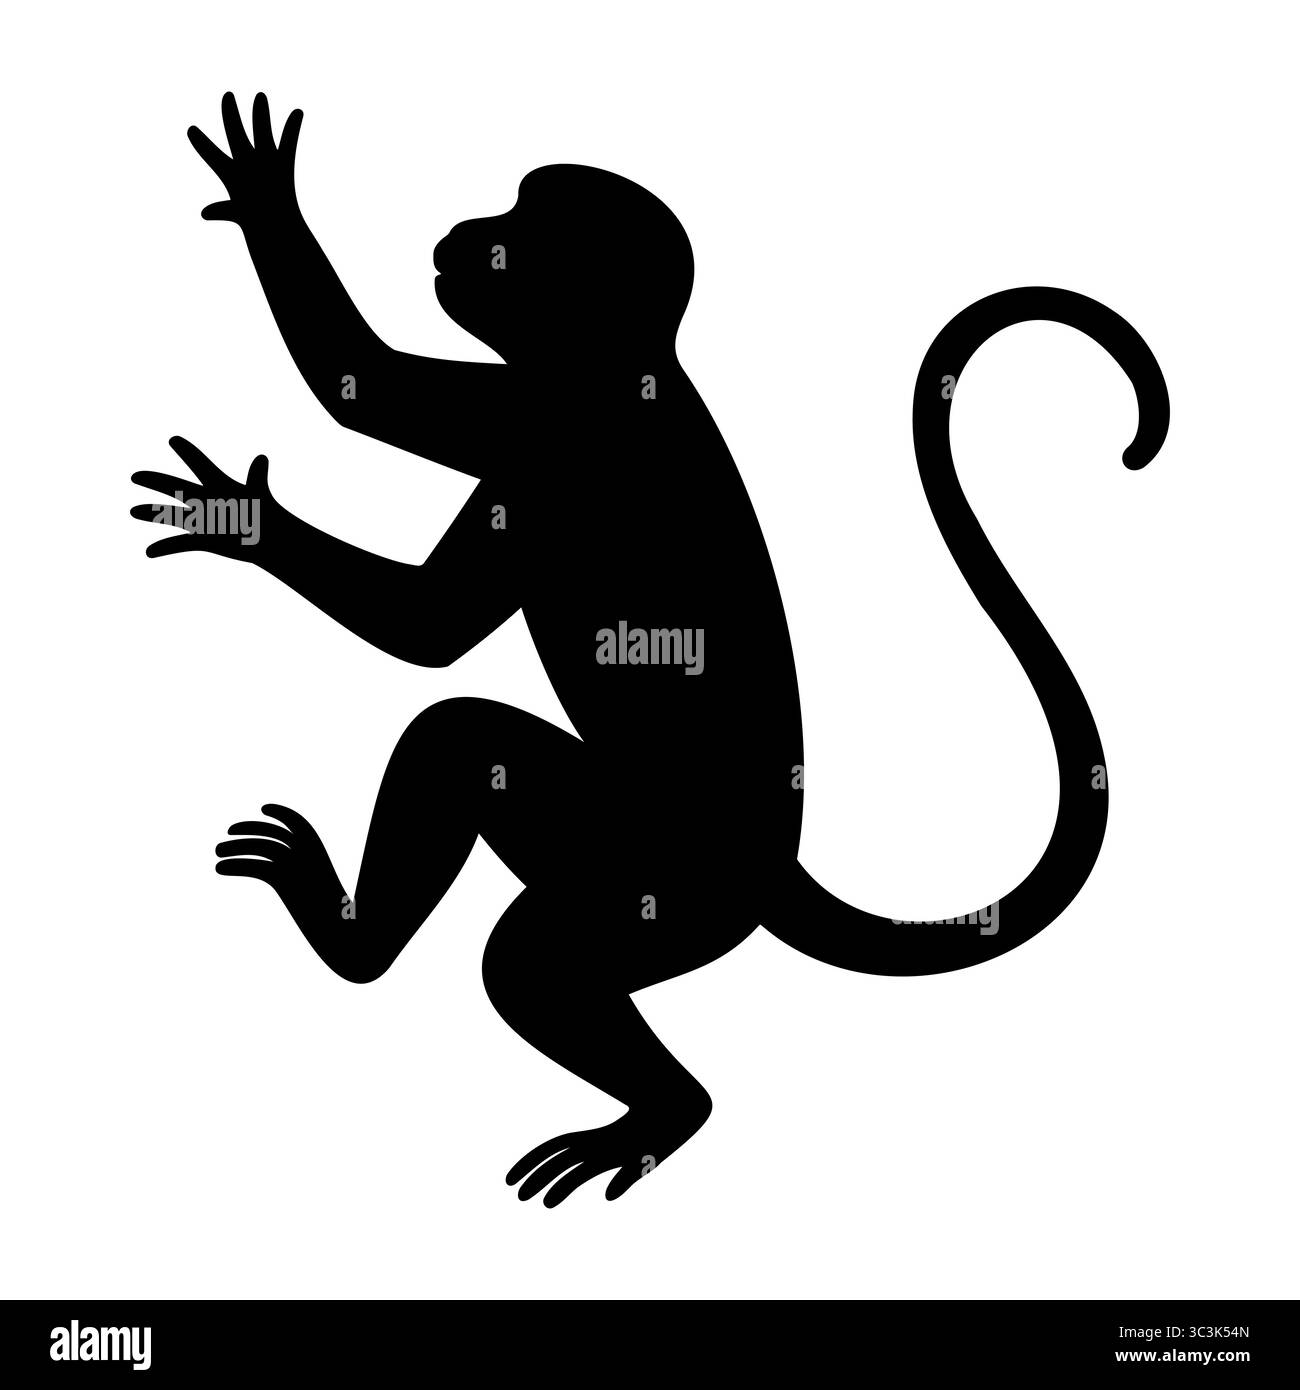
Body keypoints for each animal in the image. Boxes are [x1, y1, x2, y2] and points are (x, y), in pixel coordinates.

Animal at [133, 93, 1169, 1207]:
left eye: (510, 242)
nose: (458, 237)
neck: (615, 361)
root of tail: (773, 868)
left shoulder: (533, 427)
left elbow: (380, 462)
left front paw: (250, 505)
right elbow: (414, 554)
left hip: (659, 885)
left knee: (520, 920)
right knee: (472, 763)